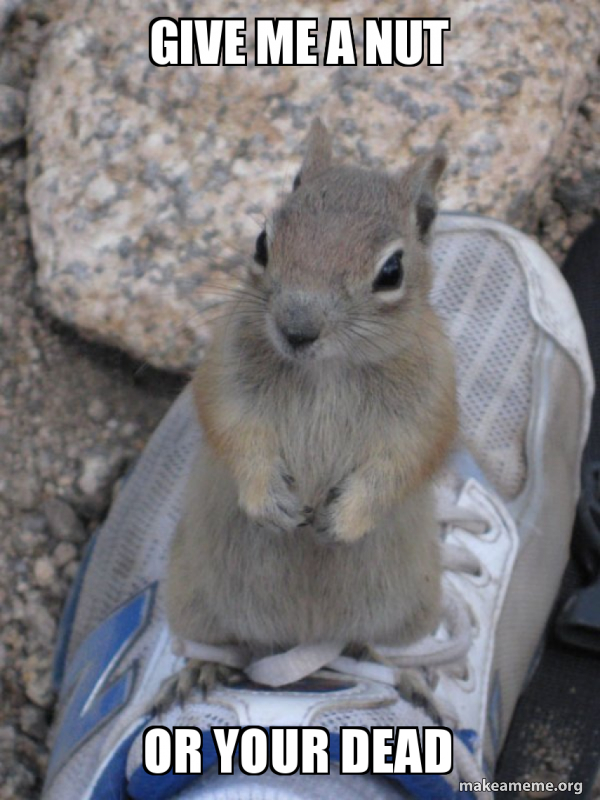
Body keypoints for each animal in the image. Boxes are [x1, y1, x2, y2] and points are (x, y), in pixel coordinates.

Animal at [163, 118, 457, 695]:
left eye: (392, 271)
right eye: (263, 242)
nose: (296, 329)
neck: (326, 370)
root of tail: (307, 635)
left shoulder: (428, 407)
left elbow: (402, 463)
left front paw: (344, 519)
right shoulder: (227, 378)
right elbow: (236, 434)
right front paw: (268, 501)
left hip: (414, 609)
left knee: (367, 644)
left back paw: (400, 675)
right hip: (189, 597)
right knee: (228, 645)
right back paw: (204, 668)